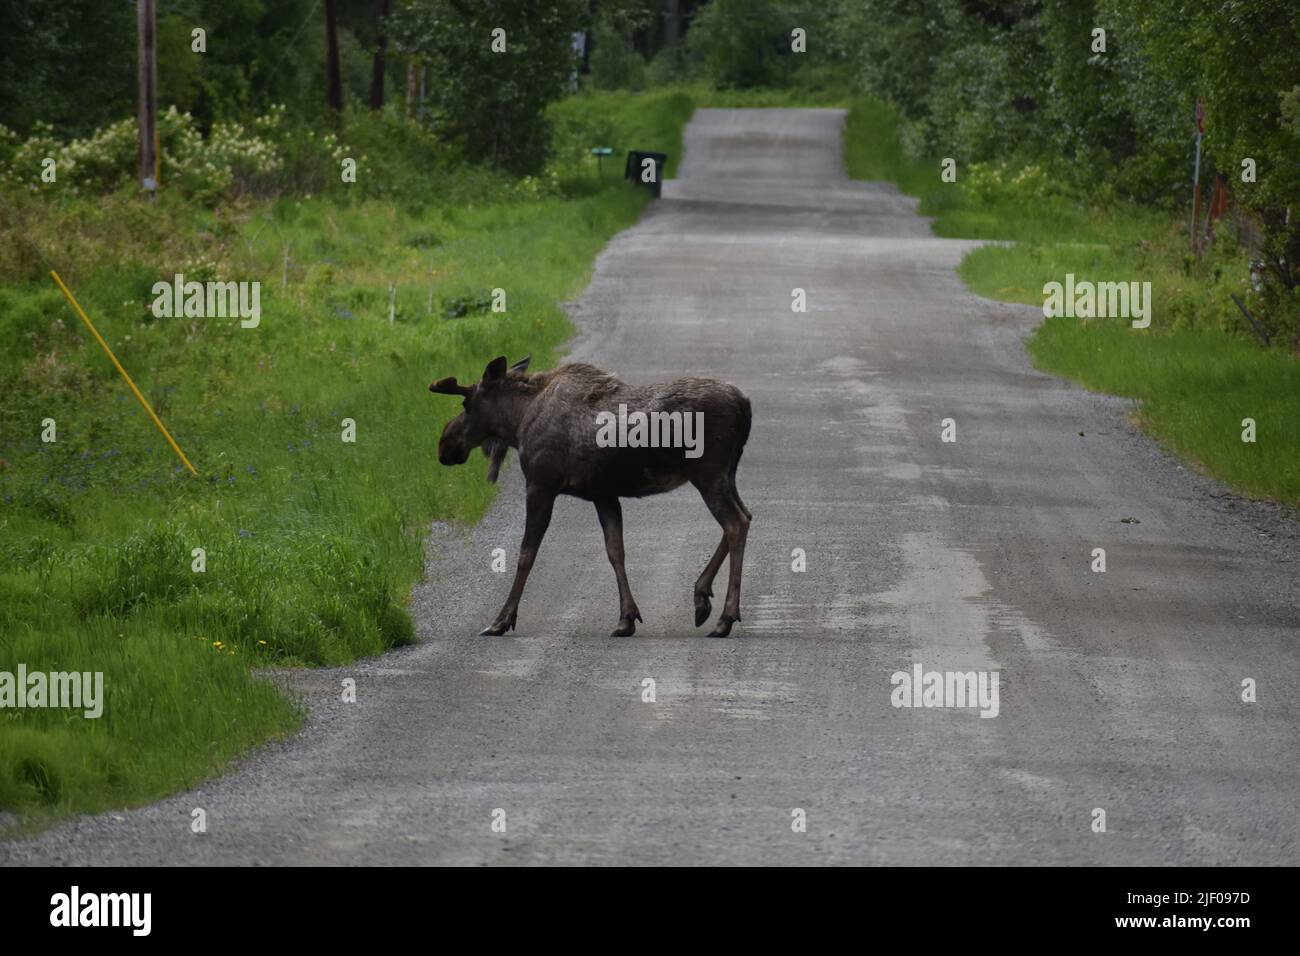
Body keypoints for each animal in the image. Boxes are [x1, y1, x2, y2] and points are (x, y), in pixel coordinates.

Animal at [429, 356, 752, 638]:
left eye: (466, 403)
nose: (444, 444)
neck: (517, 424)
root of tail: (744, 403)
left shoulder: (540, 485)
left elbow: (526, 554)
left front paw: (501, 620)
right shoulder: (603, 494)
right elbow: (615, 551)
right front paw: (626, 619)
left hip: (708, 474)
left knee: (735, 523)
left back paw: (725, 618)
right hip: (727, 473)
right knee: (746, 517)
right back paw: (702, 597)